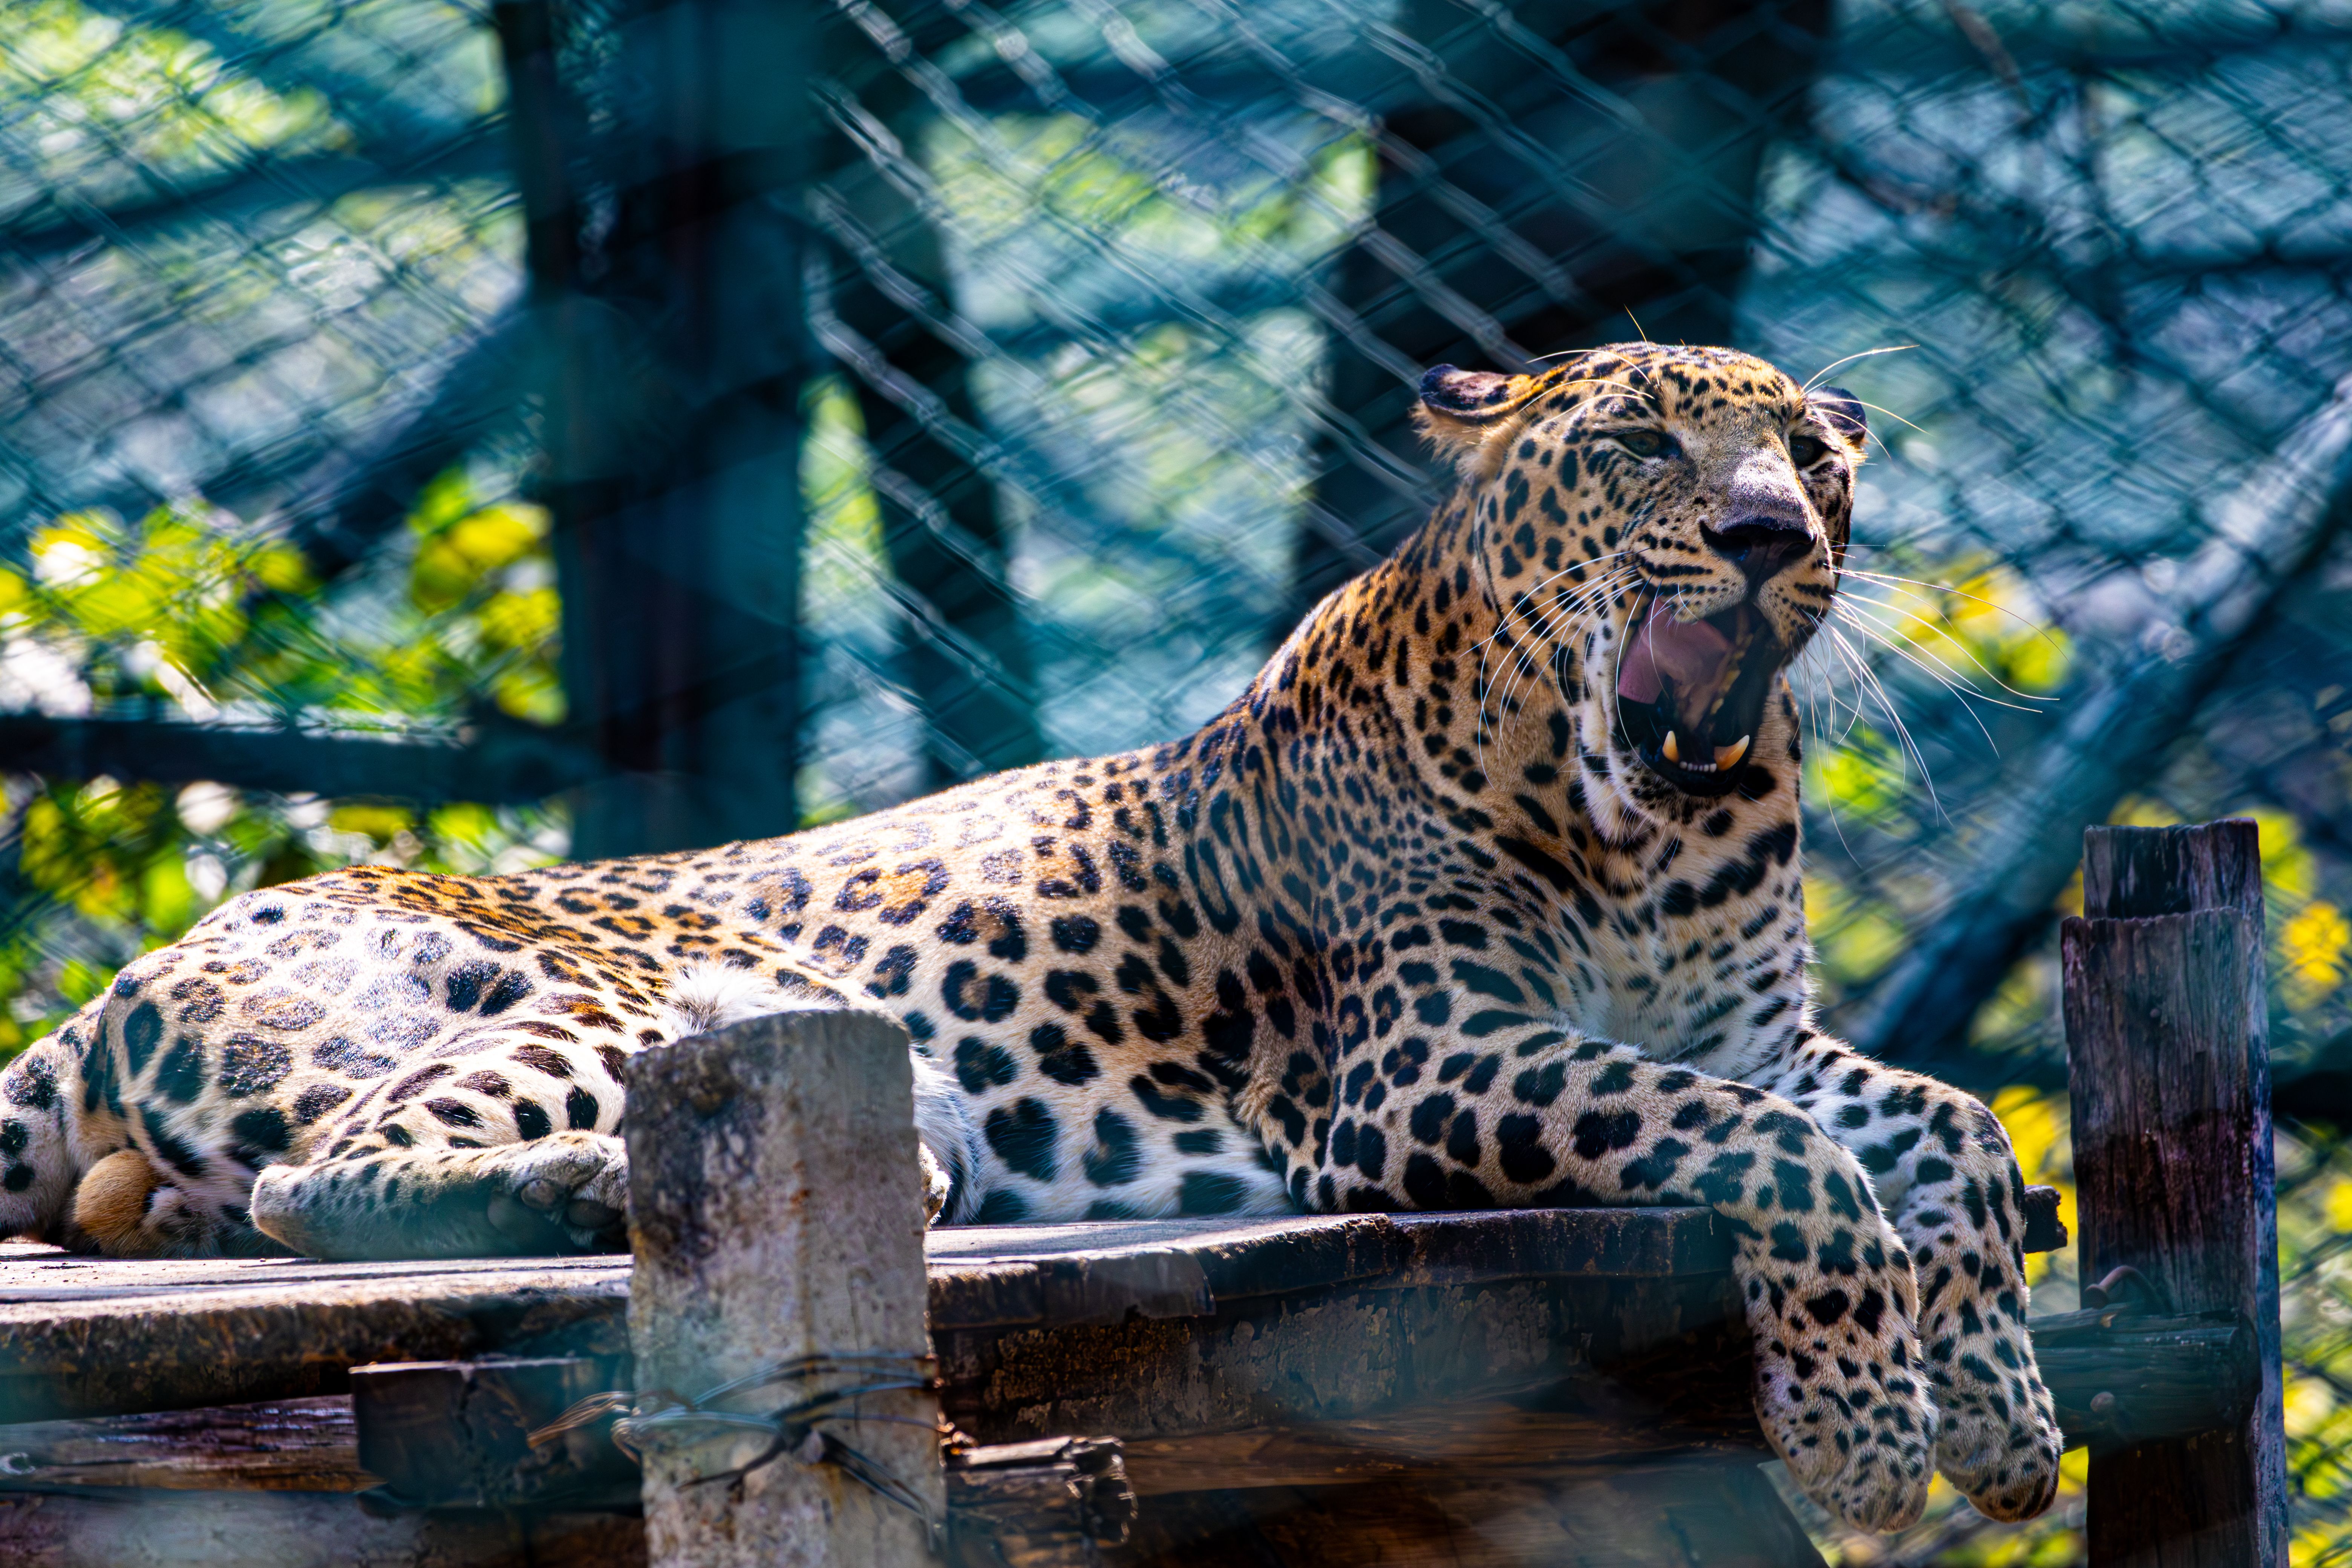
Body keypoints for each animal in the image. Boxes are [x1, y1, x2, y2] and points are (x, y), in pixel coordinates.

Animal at [0, 342, 2062, 1534]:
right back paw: (651, 1186)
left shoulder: (1752, 1031)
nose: (1768, 538)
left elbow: (1952, 1132)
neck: (1655, 823)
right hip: (618, 1000)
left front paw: (2002, 1414)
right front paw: (1868, 1436)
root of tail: (127, 981)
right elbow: (1785, 1160)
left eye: (1809, 457)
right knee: (337, 1174)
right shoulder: (1427, 1064)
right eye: (1641, 444)